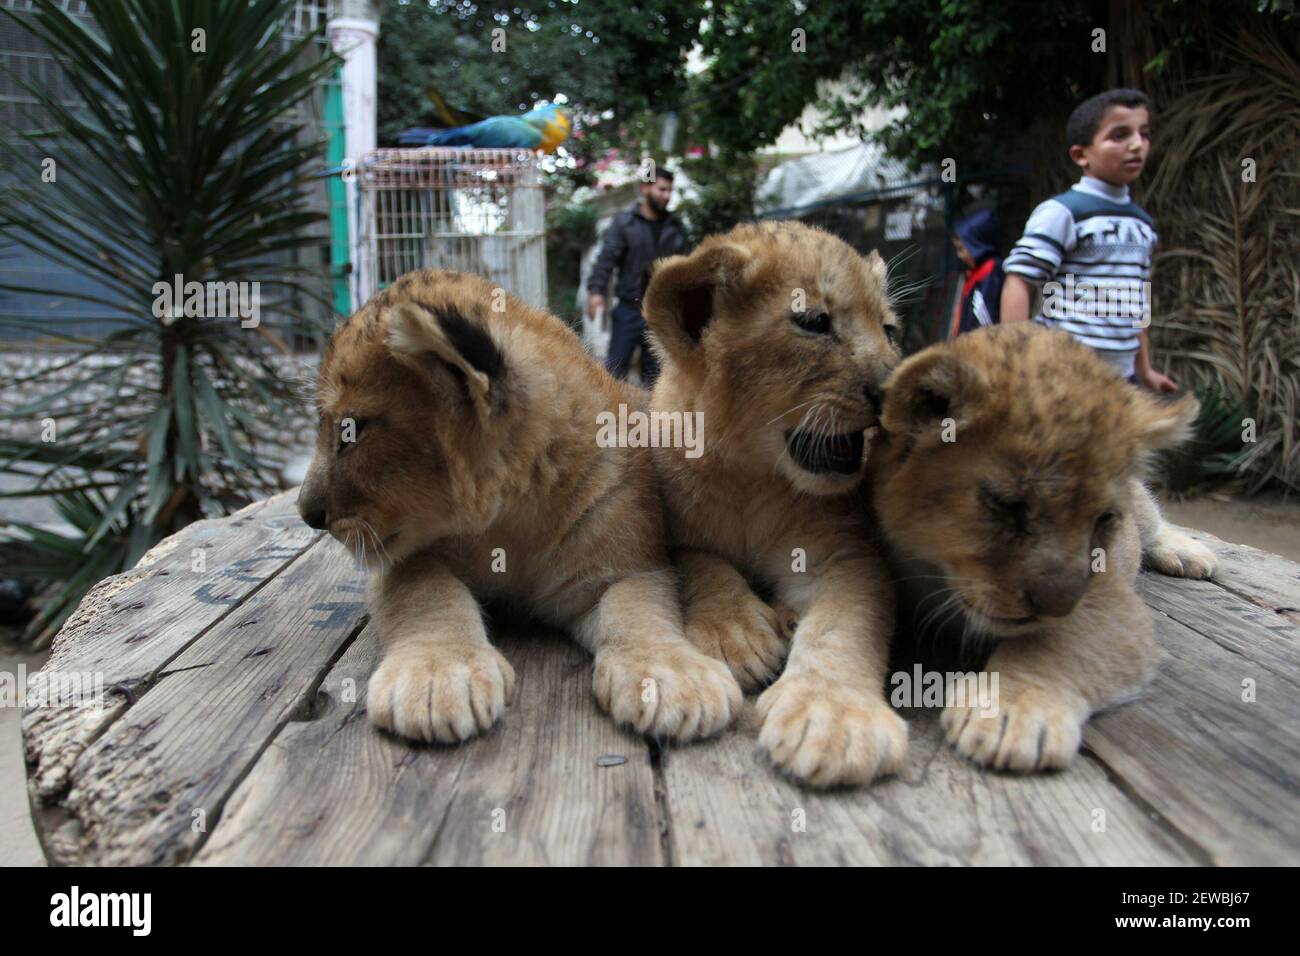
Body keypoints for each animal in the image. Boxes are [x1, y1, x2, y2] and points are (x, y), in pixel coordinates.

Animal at [297, 269, 742, 746]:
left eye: (350, 430)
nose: (308, 515)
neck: (511, 516)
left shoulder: (627, 566)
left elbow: (640, 611)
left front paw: (672, 676)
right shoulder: (405, 561)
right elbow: (428, 597)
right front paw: (438, 676)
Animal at [643, 220, 907, 788]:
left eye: (889, 330)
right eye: (813, 322)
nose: (893, 388)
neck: (754, 476)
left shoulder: (844, 554)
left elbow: (844, 623)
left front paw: (832, 717)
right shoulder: (677, 534)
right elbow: (705, 566)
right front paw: (735, 635)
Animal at [870, 321, 1212, 771]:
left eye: (1104, 519)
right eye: (1007, 503)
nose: (1057, 604)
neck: (936, 577)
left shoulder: (1110, 598)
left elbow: (1058, 644)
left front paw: (1012, 713)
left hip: (1140, 506)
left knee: (1152, 516)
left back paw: (1186, 552)